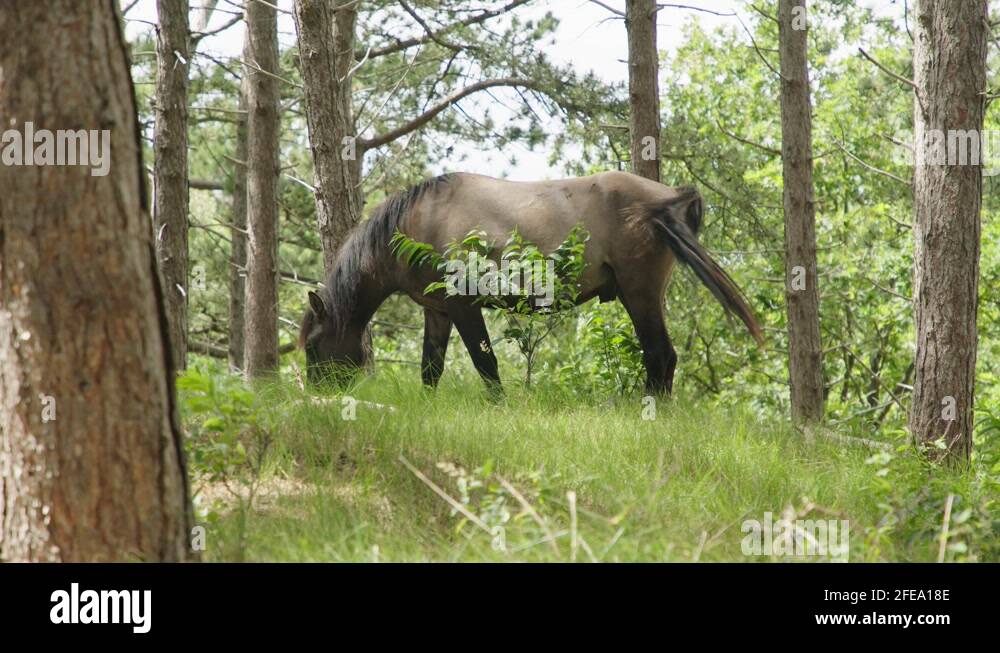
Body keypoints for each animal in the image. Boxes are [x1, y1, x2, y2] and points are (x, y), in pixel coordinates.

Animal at [299, 171, 763, 394]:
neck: (418, 221)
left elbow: (485, 364)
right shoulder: (438, 310)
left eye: (311, 345)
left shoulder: (465, 306)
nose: (318, 396)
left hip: (641, 294)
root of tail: (668, 197)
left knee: (660, 357)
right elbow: (431, 369)